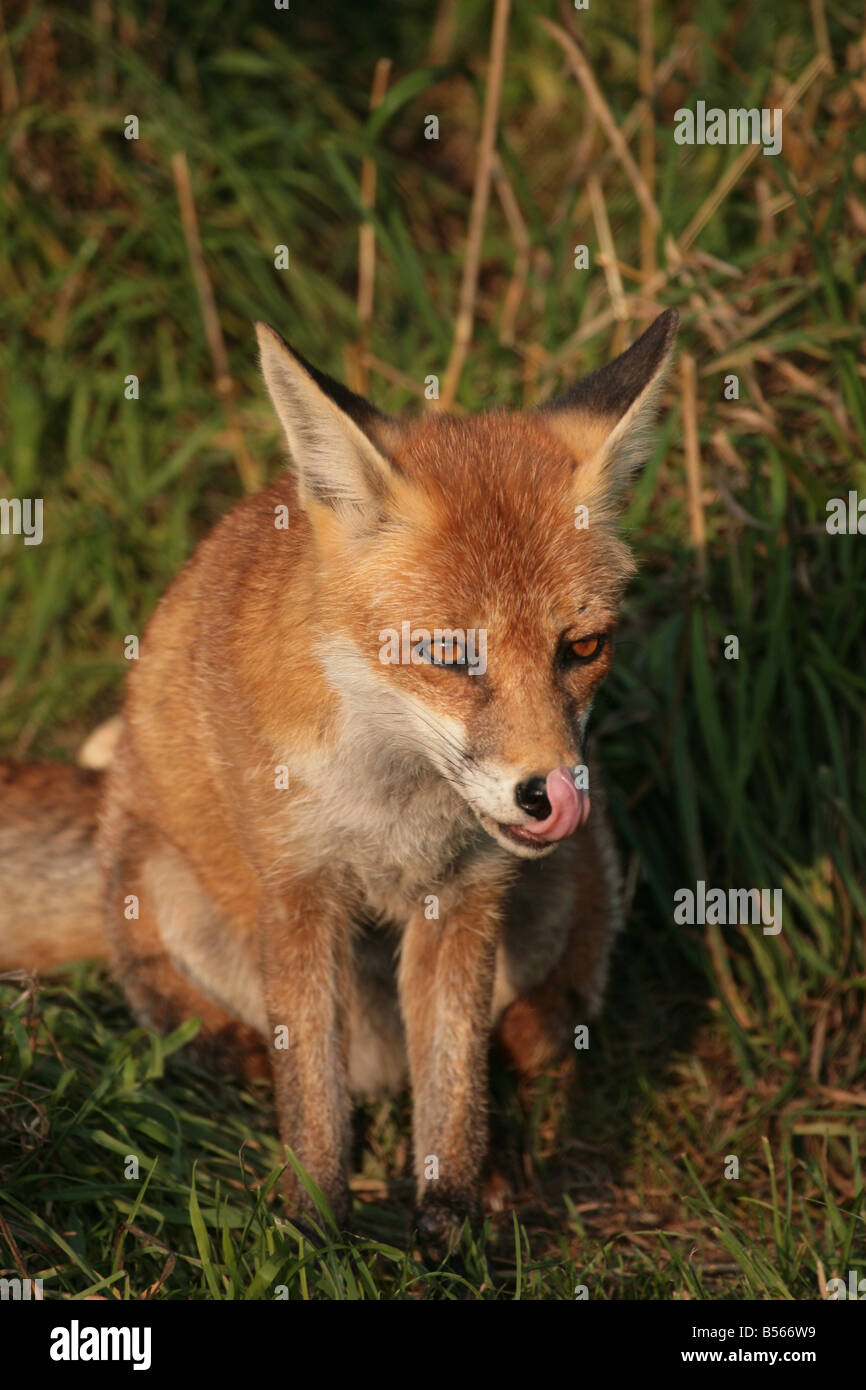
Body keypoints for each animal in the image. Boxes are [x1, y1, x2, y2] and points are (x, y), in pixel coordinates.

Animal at [0, 306, 678, 1259]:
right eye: (449, 655)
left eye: (582, 648)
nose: (549, 795)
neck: (395, 803)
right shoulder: (297, 890)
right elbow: (312, 1091)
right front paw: (314, 1236)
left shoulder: (465, 899)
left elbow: (455, 1085)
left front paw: (448, 1230)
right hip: (160, 887)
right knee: (183, 1010)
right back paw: (227, 1056)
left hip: (566, 896)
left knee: (525, 1039)